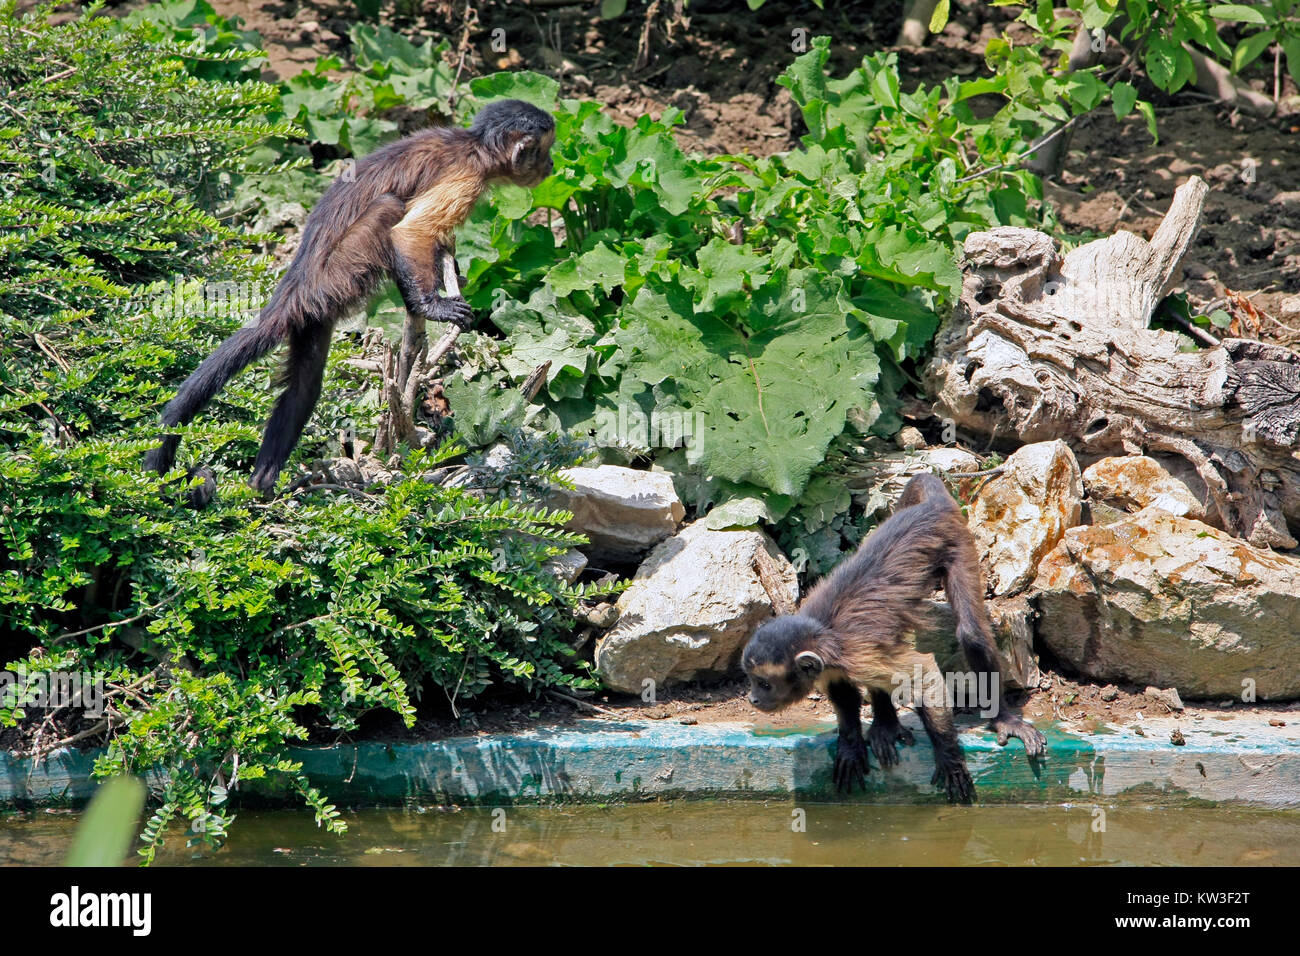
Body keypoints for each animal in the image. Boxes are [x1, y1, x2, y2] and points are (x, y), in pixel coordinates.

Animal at [143, 99, 556, 500]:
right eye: (545, 150)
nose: (551, 165)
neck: (475, 146)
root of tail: (298, 282)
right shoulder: (466, 175)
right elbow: (411, 231)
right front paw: (429, 304)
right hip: (341, 269)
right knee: (390, 208)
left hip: (314, 311)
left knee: (305, 385)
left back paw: (262, 484)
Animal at [742, 472, 1046, 804]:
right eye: (752, 680)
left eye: (765, 683)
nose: (753, 698)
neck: (822, 632)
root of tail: (931, 508)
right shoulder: (834, 663)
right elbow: (843, 690)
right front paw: (851, 742)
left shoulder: (852, 653)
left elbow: (924, 677)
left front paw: (950, 757)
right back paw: (885, 724)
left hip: (958, 540)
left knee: (972, 633)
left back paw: (1003, 718)